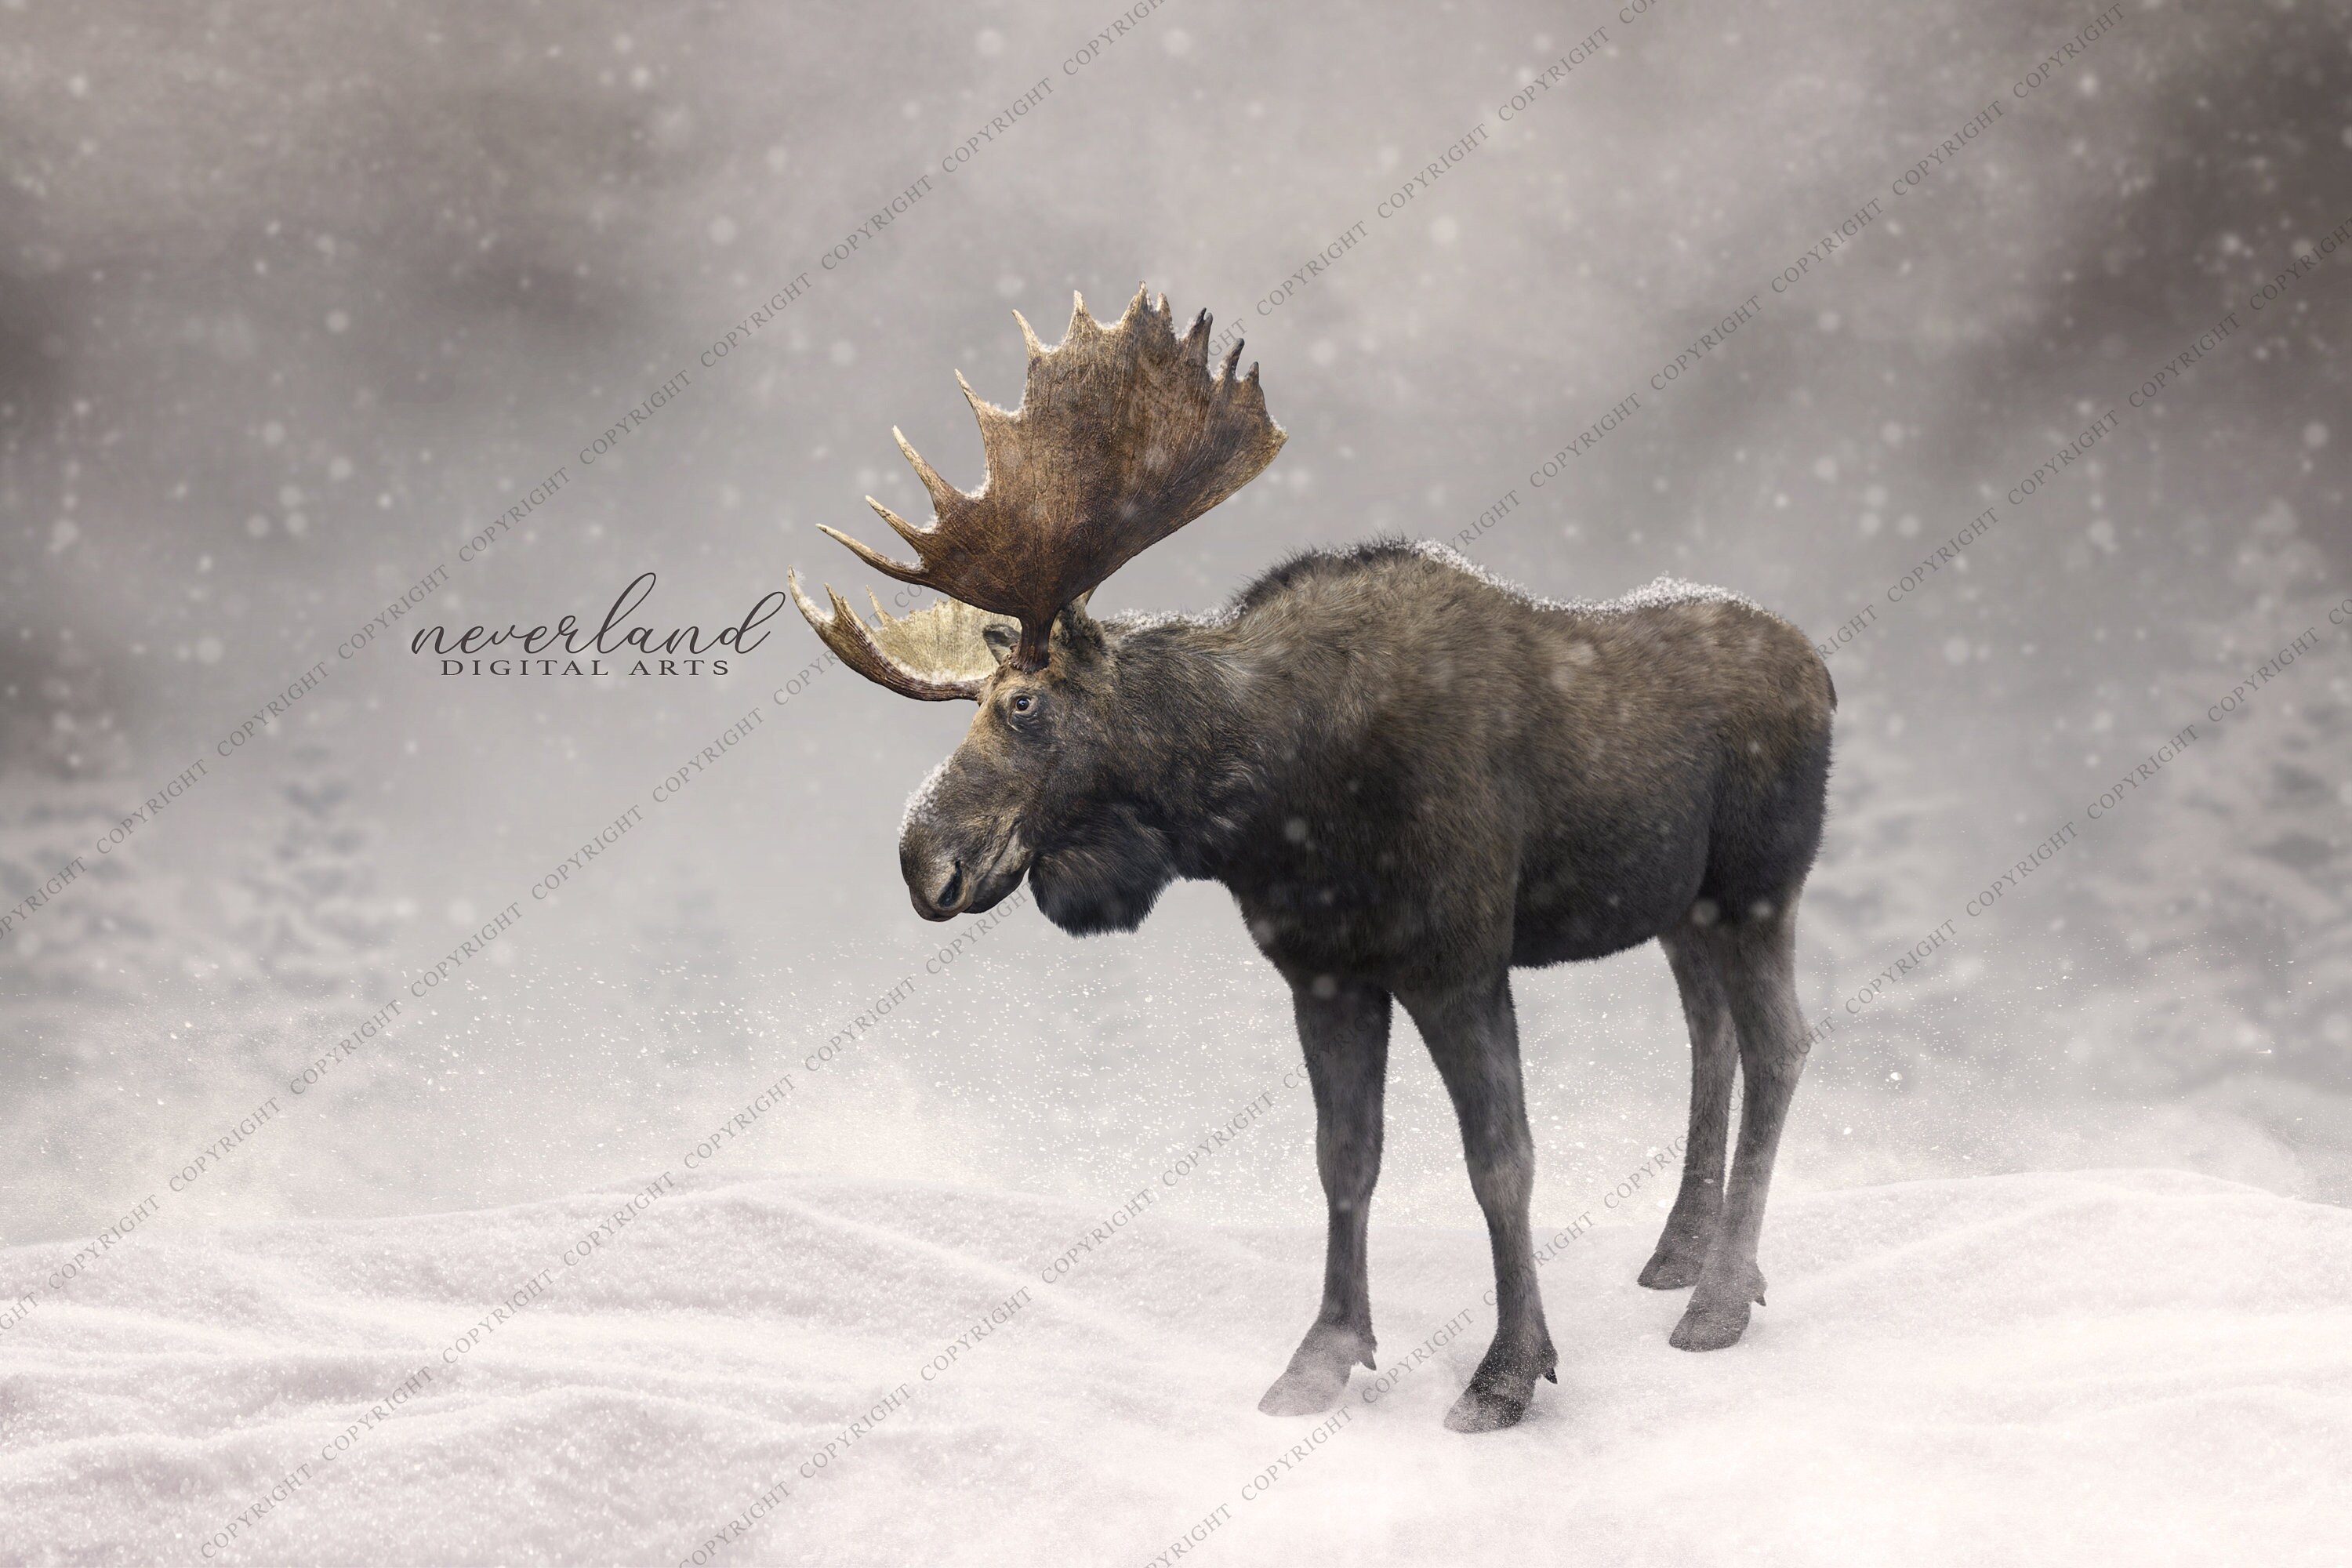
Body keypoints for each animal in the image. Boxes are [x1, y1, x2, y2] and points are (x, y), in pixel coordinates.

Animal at [789, 287, 1835, 1433]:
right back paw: (1687, 1257)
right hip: (1681, 908)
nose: (919, 857)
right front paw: (1323, 1356)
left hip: (1758, 889)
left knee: (1781, 1043)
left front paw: (1508, 1370)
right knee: (1712, 1039)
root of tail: (1827, 674)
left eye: (1022, 705)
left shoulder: (1460, 961)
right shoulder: (1325, 973)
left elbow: (1501, 1161)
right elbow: (1345, 1158)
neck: (1277, 796)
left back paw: (1720, 1298)